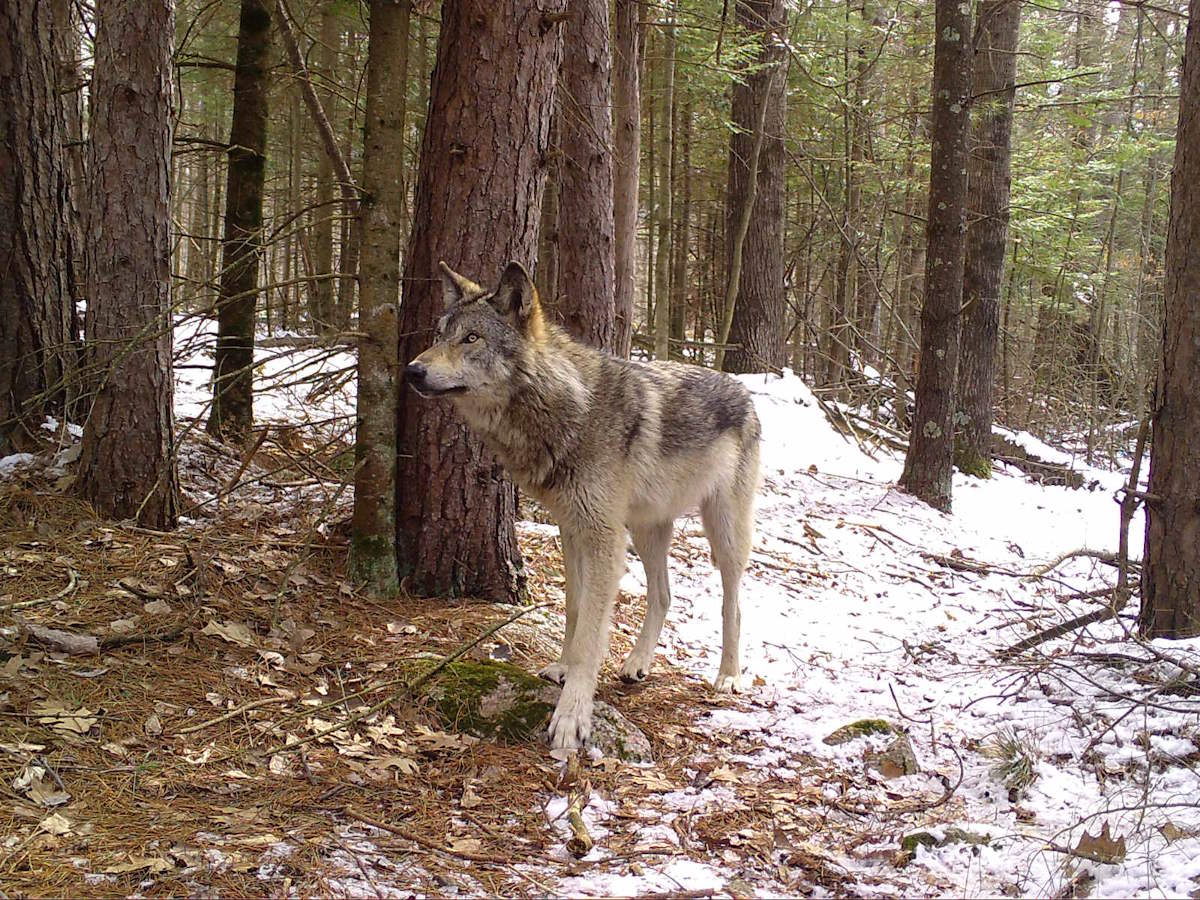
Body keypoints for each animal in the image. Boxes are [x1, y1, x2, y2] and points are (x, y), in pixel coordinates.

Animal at [405, 260, 760, 751]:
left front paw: (572, 716)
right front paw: (562, 667)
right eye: (441, 334)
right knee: (663, 594)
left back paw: (729, 676)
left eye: (472, 338)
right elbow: (575, 609)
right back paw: (637, 663)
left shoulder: (601, 537)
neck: (566, 408)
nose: (412, 371)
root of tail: (739, 385)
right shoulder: (571, 528)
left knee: (734, 603)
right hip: (646, 531)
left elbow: (593, 630)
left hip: (722, 533)